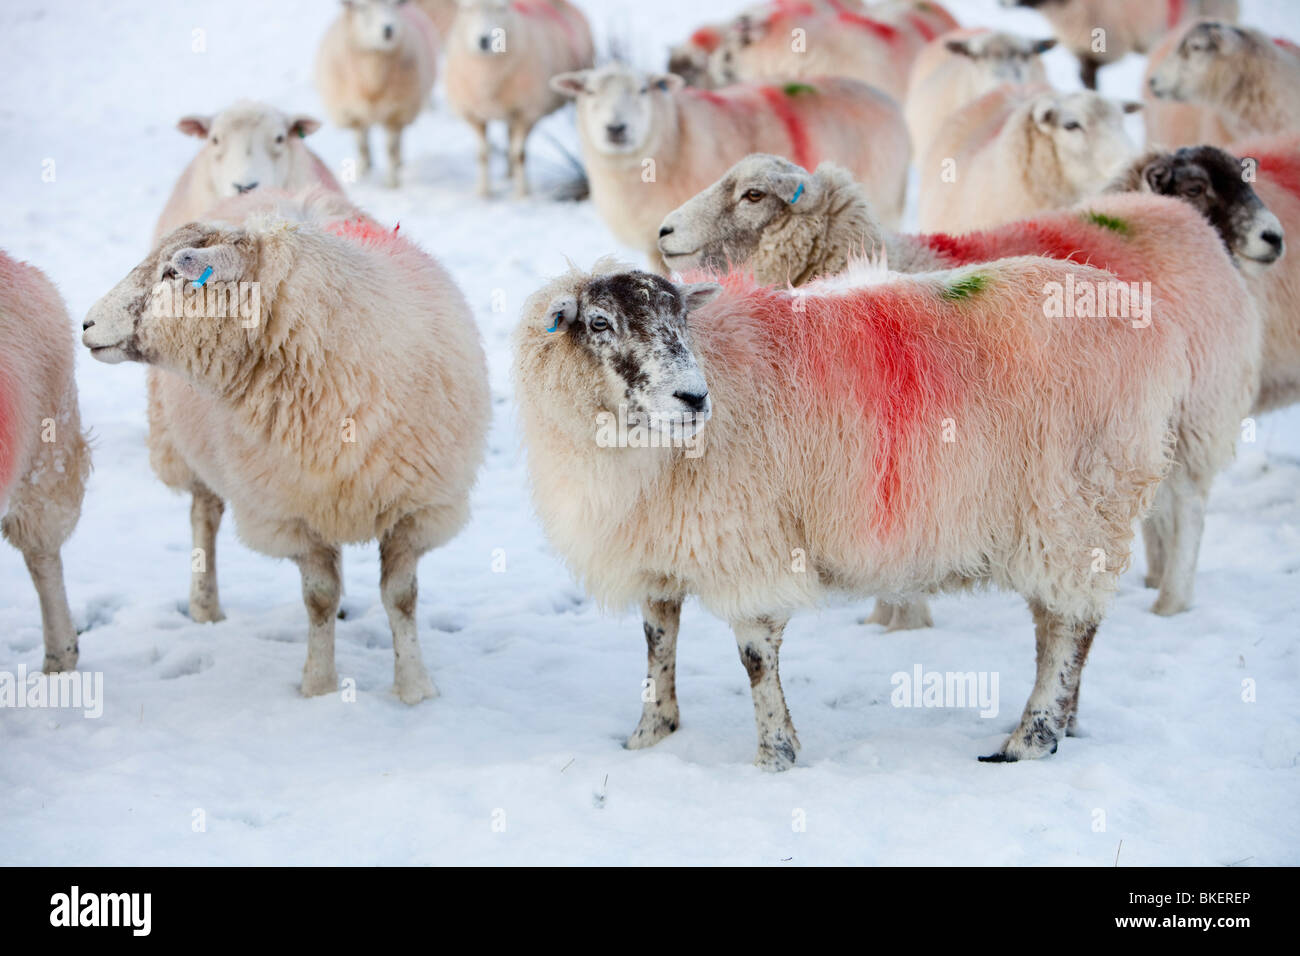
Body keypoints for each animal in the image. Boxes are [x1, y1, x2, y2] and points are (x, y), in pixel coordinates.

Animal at [81, 189, 490, 703]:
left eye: (173, 273)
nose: (86, 323)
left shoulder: (414, 508)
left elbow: (401, 599)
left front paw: (415, 688)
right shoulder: (292, 513)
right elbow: (318, 599)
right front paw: (319, 685)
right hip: (185, 451)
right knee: (203, 518)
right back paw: (205, 605)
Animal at [315, 0, 439, 188]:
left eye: (395, 5)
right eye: (362, 7)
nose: (388, 30)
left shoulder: (396, 112)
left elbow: (391, 150)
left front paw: (392, 183)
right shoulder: (352, 114)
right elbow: (362, 146)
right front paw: (363, 172)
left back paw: (399, 164)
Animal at [444, 0, 593, 198]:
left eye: (501, 8)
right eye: (466, 9)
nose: (484, 40)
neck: (487, 78)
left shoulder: (527, 113)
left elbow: (520, 155)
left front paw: (522, 194)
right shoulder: (473, 115)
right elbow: (483, 155)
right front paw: (484, 193)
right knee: (509, 136)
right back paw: (508, 175)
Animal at [514, 256, 1194, 768]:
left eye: (682, 316)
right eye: (599, 322)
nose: (694, 397)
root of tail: (1146, 318)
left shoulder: (749, 538)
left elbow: (755, 658)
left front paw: (775, 754)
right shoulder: (657, 547)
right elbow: (659, 641)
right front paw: (650, 734)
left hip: (1081, 503)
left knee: (1071, 628)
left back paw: (1033, 737)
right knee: (1059, 623)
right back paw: (1064, 722)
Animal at [660, 153, 1264, 618]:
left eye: (753, 194)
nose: (664, 232)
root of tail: (1188, 220)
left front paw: (901, 620)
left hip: (1197, 407)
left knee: (1189, 508)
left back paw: (1172, 601)